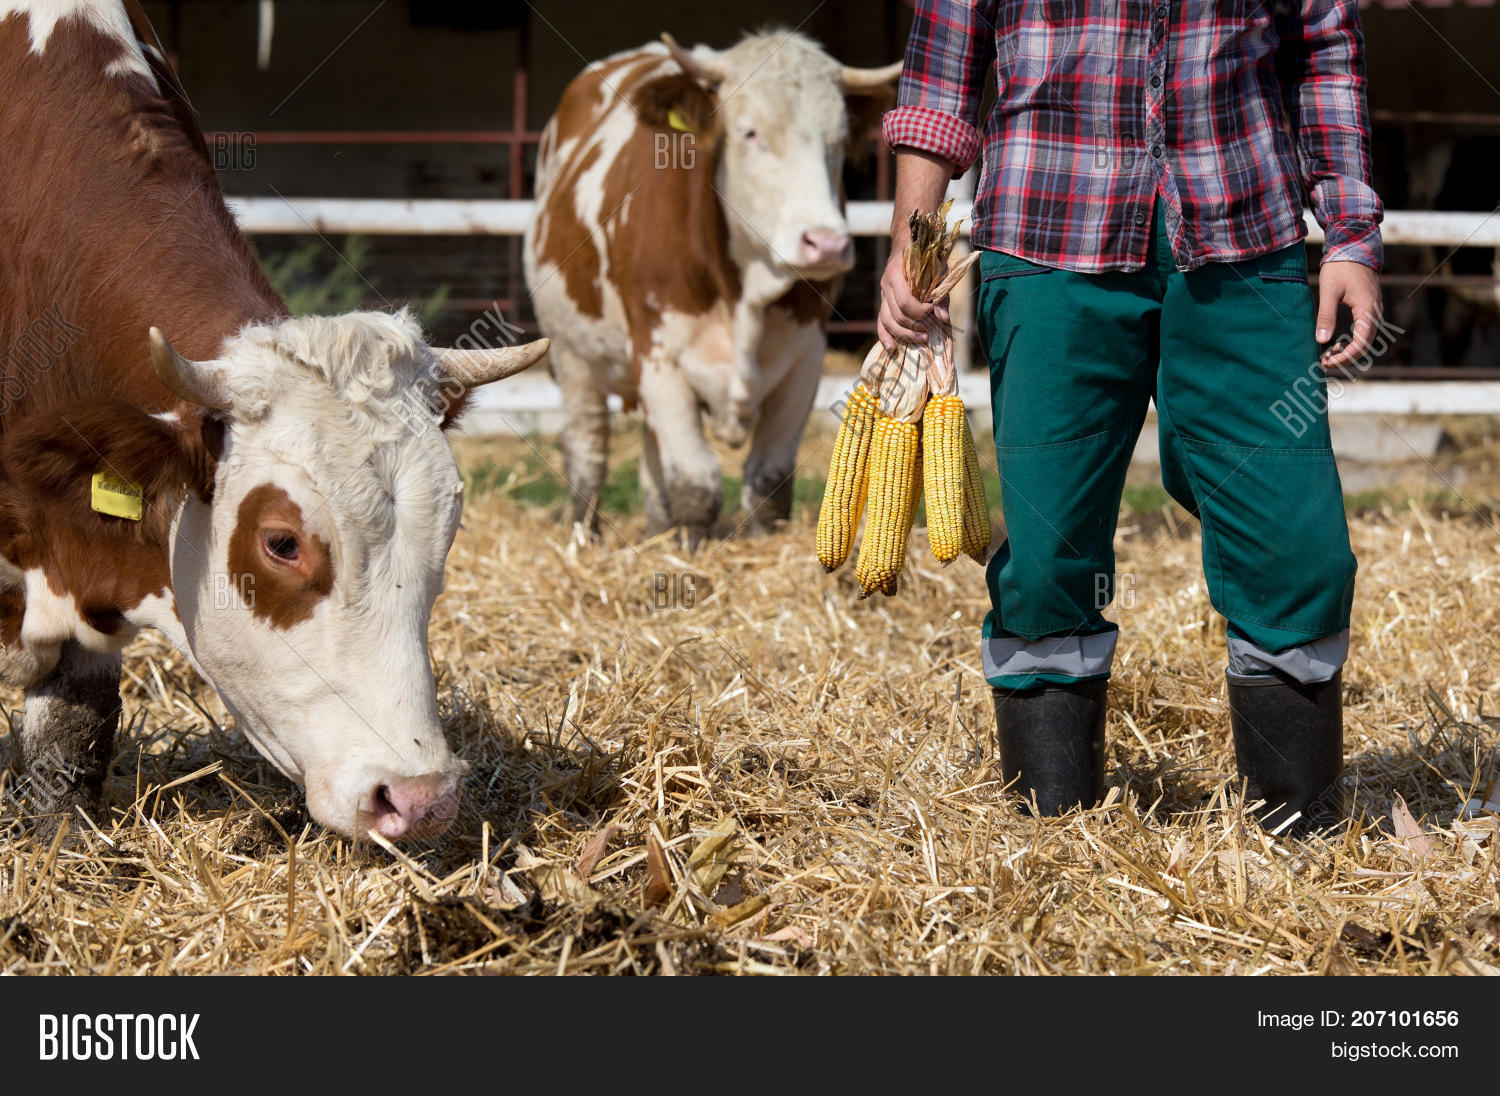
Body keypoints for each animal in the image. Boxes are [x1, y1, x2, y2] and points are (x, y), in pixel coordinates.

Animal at [523, 30, 900, 548]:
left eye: (840, 139)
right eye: (749, 132)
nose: (826, 243)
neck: (742, 294)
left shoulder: (805, 357)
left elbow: (768, 483)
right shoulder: (658, 352)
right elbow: (696, 485)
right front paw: (688, 550)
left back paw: (655, 528)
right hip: (571, 353)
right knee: (588, 450)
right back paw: (584, 539)